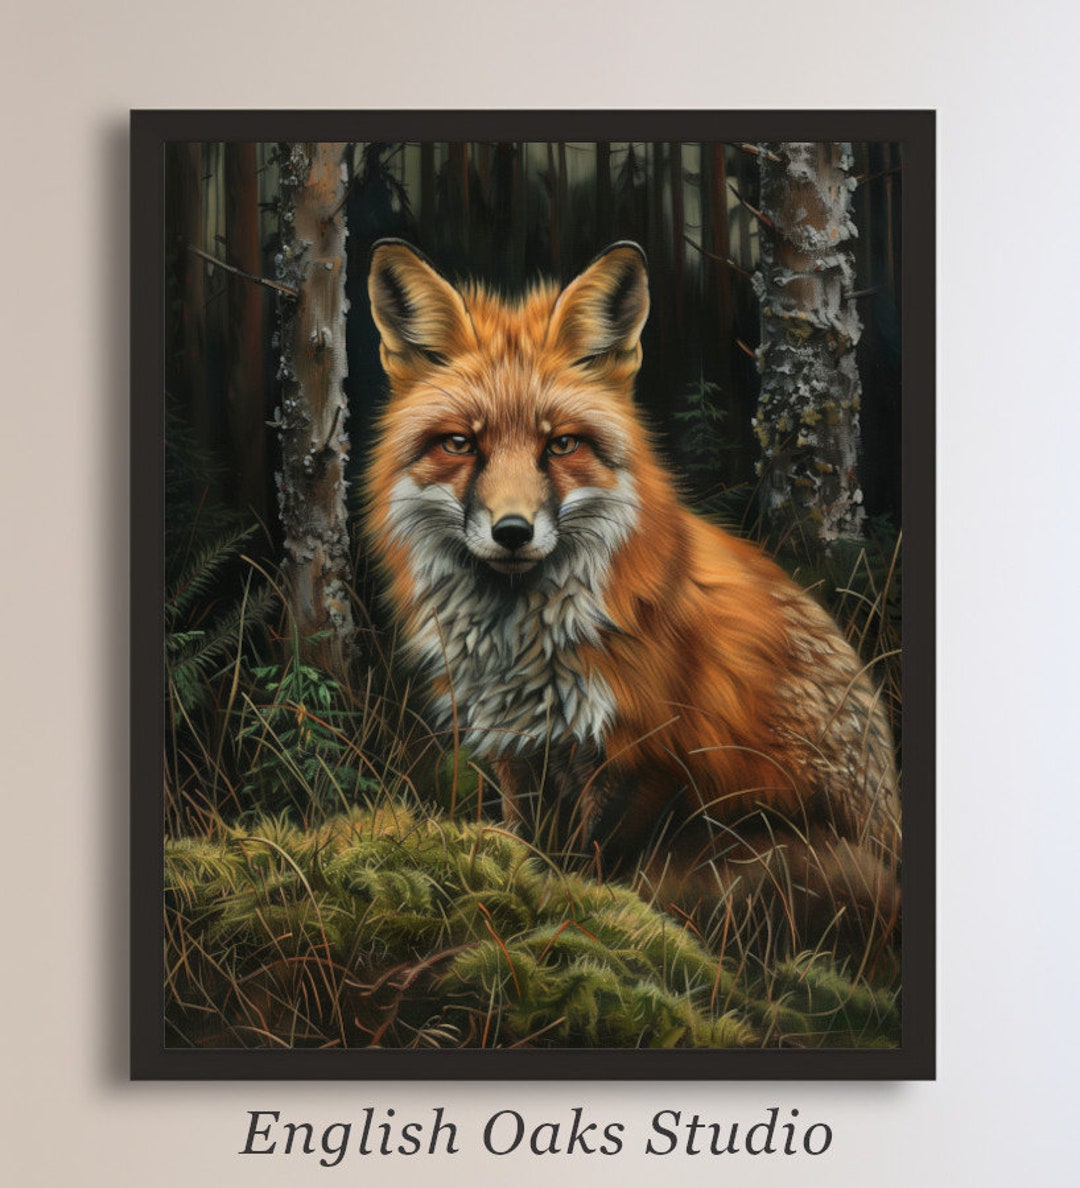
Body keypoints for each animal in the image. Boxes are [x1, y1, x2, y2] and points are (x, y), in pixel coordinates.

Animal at [365, 239, 900, 952]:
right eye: (461, 444)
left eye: (561, 444)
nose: (512, 532)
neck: (527, 646)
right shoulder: (517, 747)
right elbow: (526, 846)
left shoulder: (644, 758)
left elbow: (589, 872)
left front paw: (565, 924)